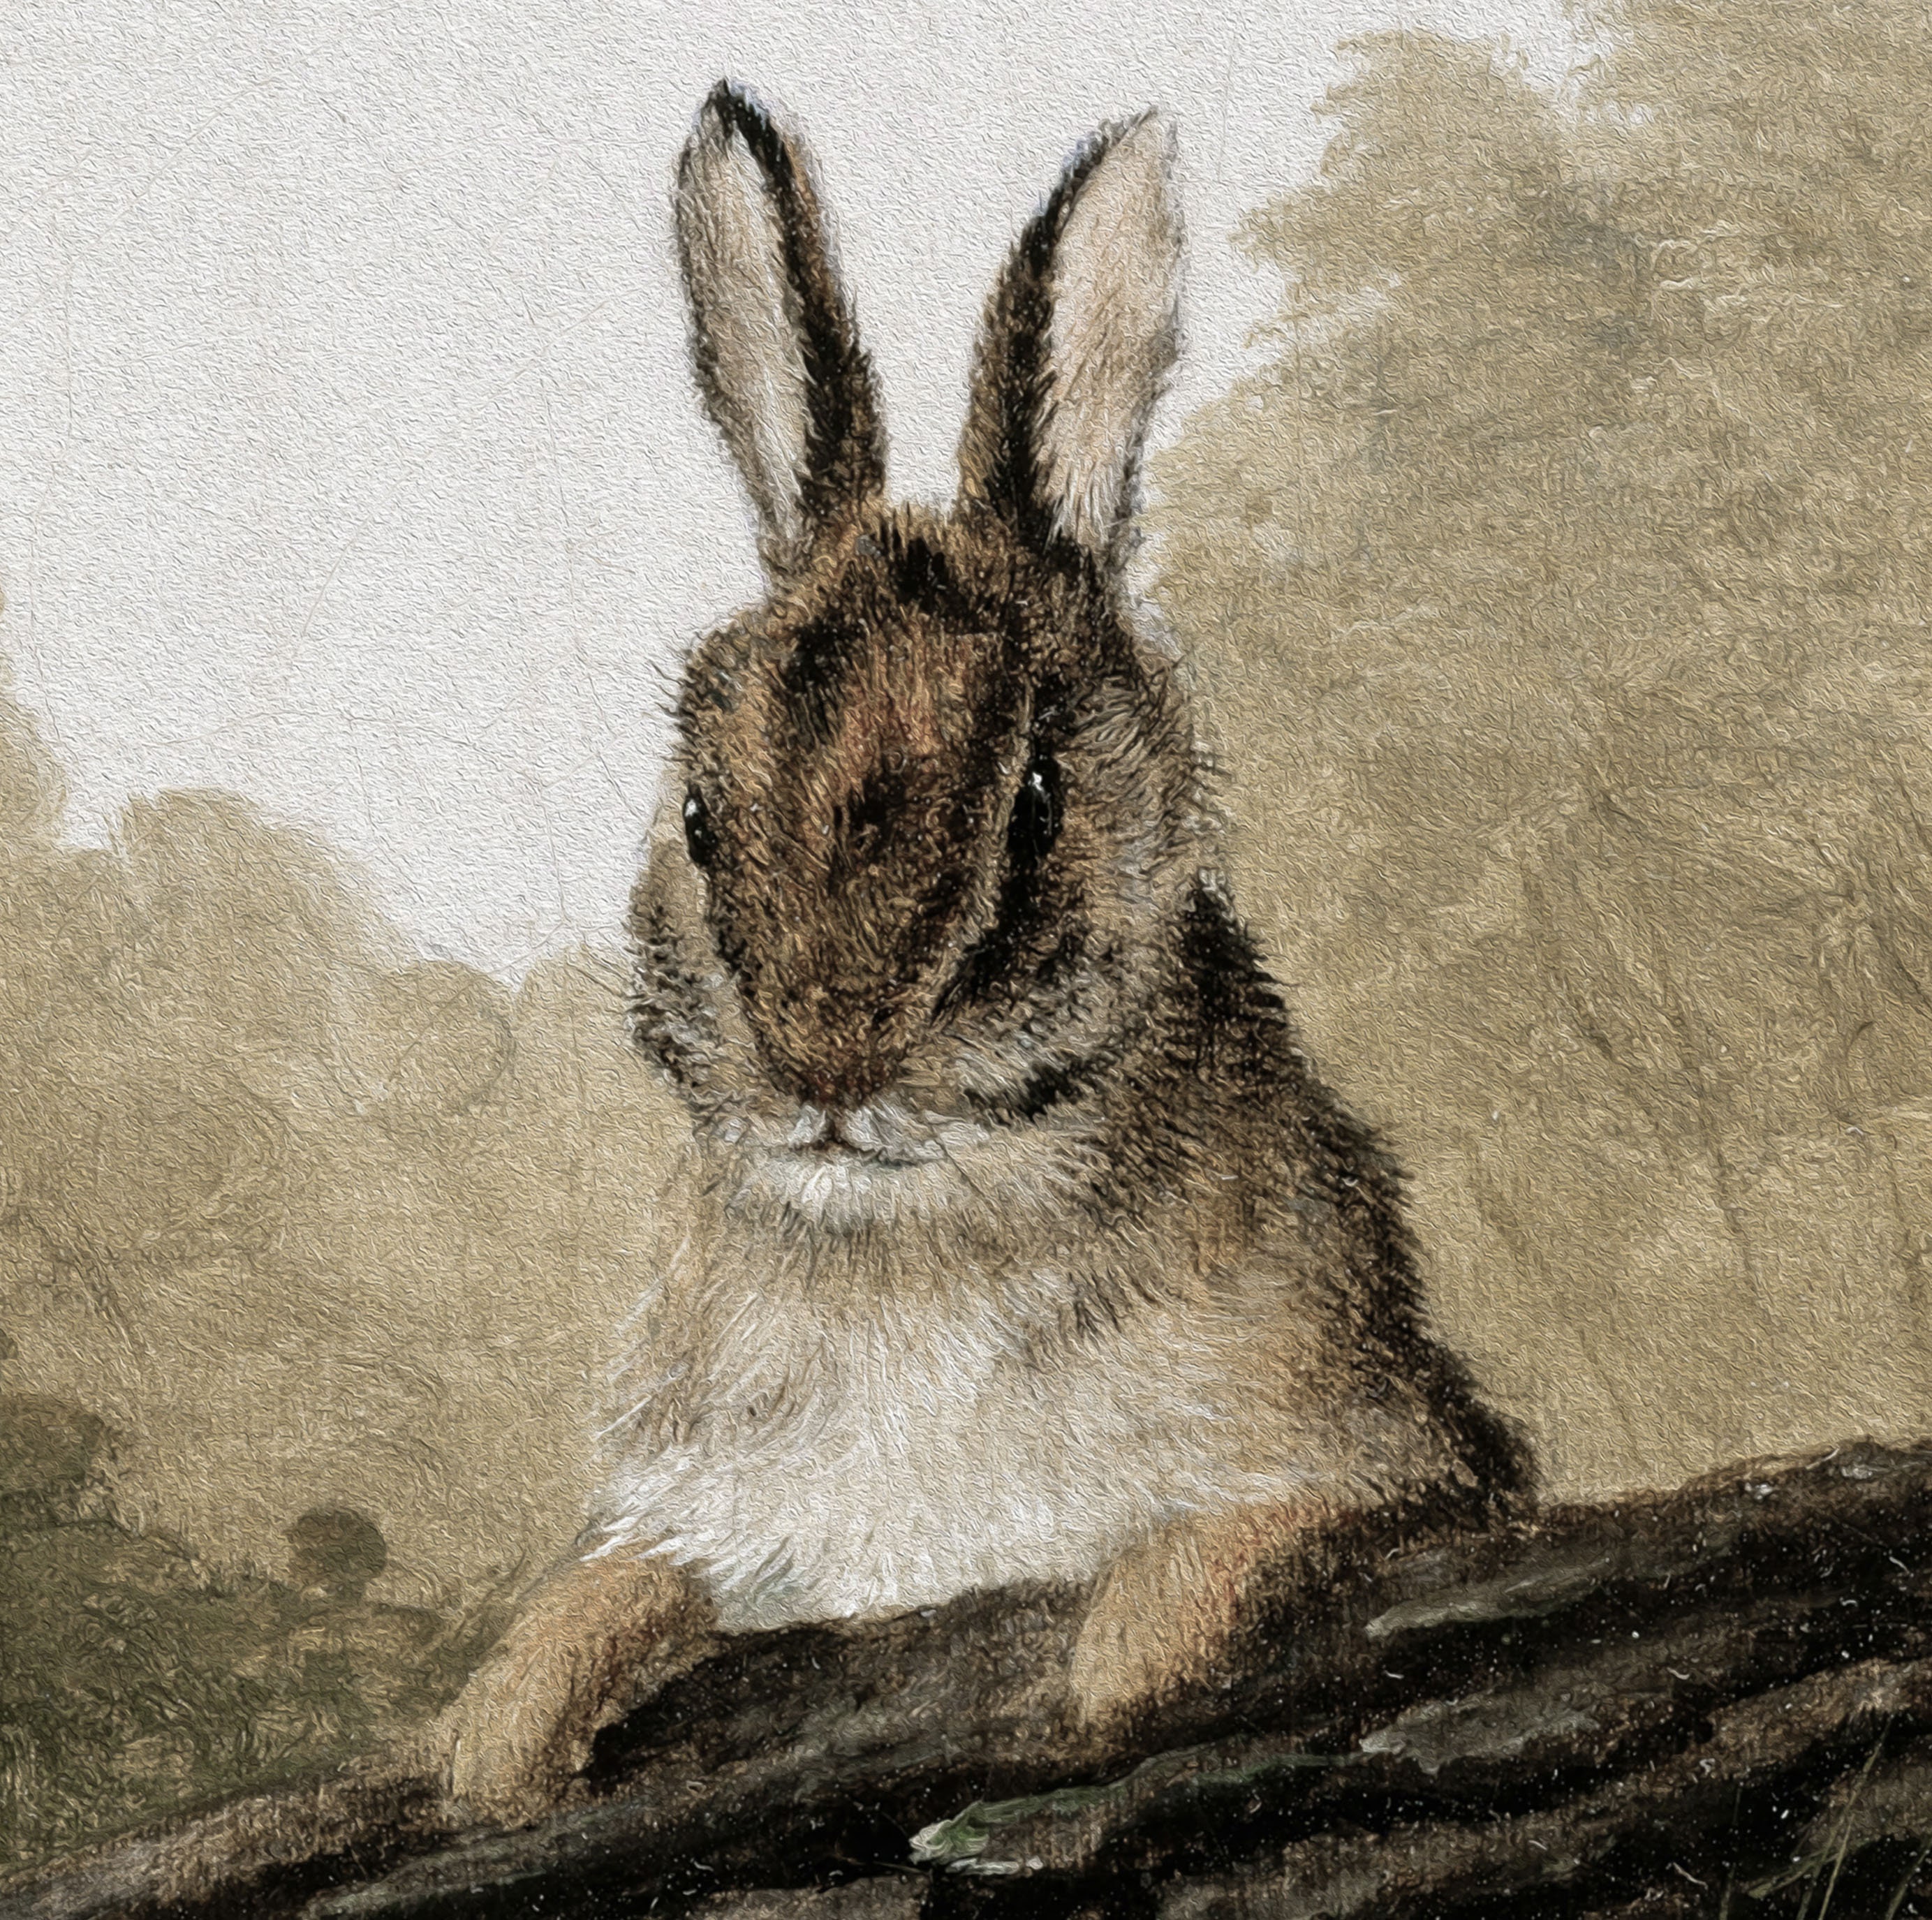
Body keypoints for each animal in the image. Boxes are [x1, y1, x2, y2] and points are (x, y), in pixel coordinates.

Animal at [435, 79, 1532, 1827]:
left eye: (1036, 802)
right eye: (698, 813)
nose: (825, 1070)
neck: (916, 1232)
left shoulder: (1395, 1459)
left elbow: (1263, 1526)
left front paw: (1131, 1651)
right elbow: (624, 1582)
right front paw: (499, 1733)